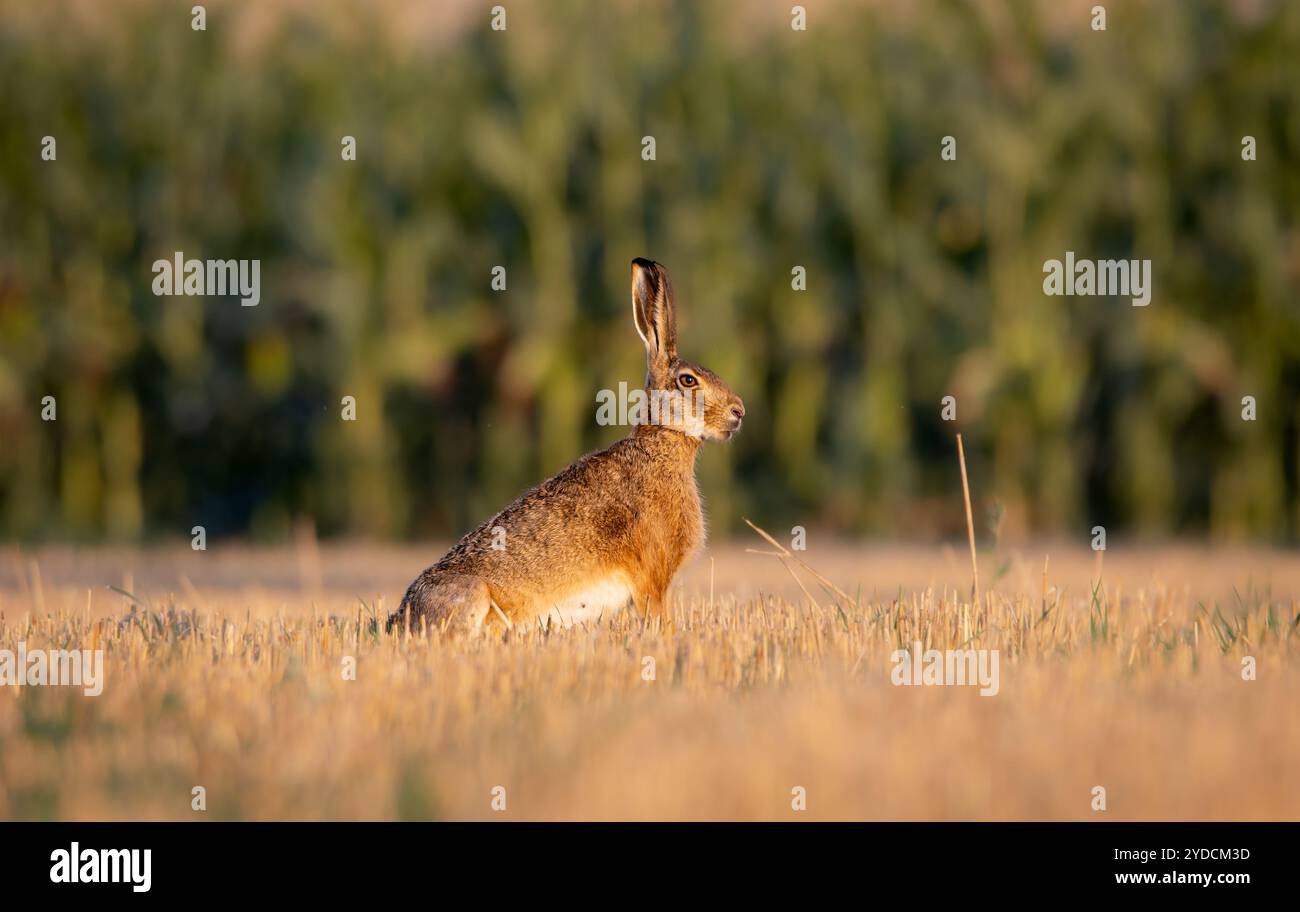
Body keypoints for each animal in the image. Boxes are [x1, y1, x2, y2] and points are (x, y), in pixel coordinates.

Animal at [386, 258, 745, 635]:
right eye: (688, 380)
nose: (739, 412)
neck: (661, 441)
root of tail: (403, 614)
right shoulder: (652, 577)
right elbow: (658, 617)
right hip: (472, 598)